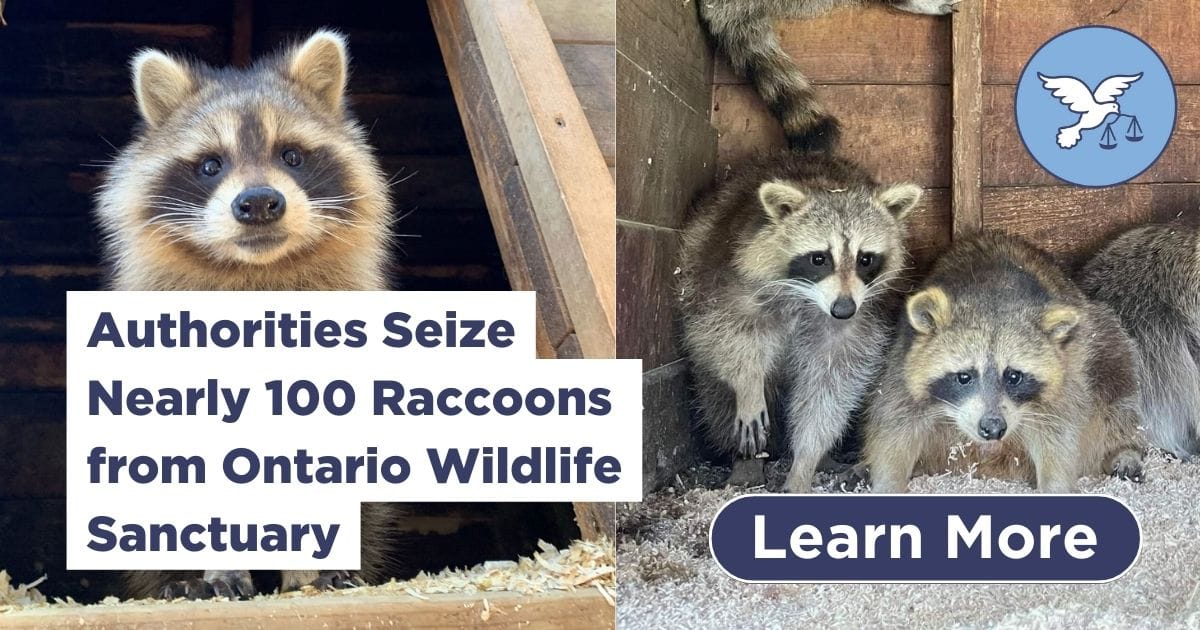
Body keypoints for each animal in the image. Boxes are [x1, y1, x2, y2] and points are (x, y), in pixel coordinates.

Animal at [99, 31, 403, 599]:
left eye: (292, 155)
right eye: (210, 165)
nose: (259, 202)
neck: (255, 271)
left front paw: (310, 570)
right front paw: (220, 569)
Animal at [678, 150, 922, 493]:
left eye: (865, 259)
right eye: (819, 258)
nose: (843, 309)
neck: (808, 301)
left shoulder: (859, 324)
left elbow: (830, 389)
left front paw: (806, 461)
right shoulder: (725, 280)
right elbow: (729, 339)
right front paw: (748, 384)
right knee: (717, 400)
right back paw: (745, 461)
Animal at [863, 231, 1146, 493]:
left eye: (1013, 376)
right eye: (964, 376)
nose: (993, 428)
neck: (993, 291)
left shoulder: (1069, 373)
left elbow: (1059, 433)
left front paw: (1056, 483)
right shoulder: (900, 359)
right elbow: (894, 426)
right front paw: (887, 482)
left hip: (1103, 343)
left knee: (1116, 386)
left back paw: (1121, 449)